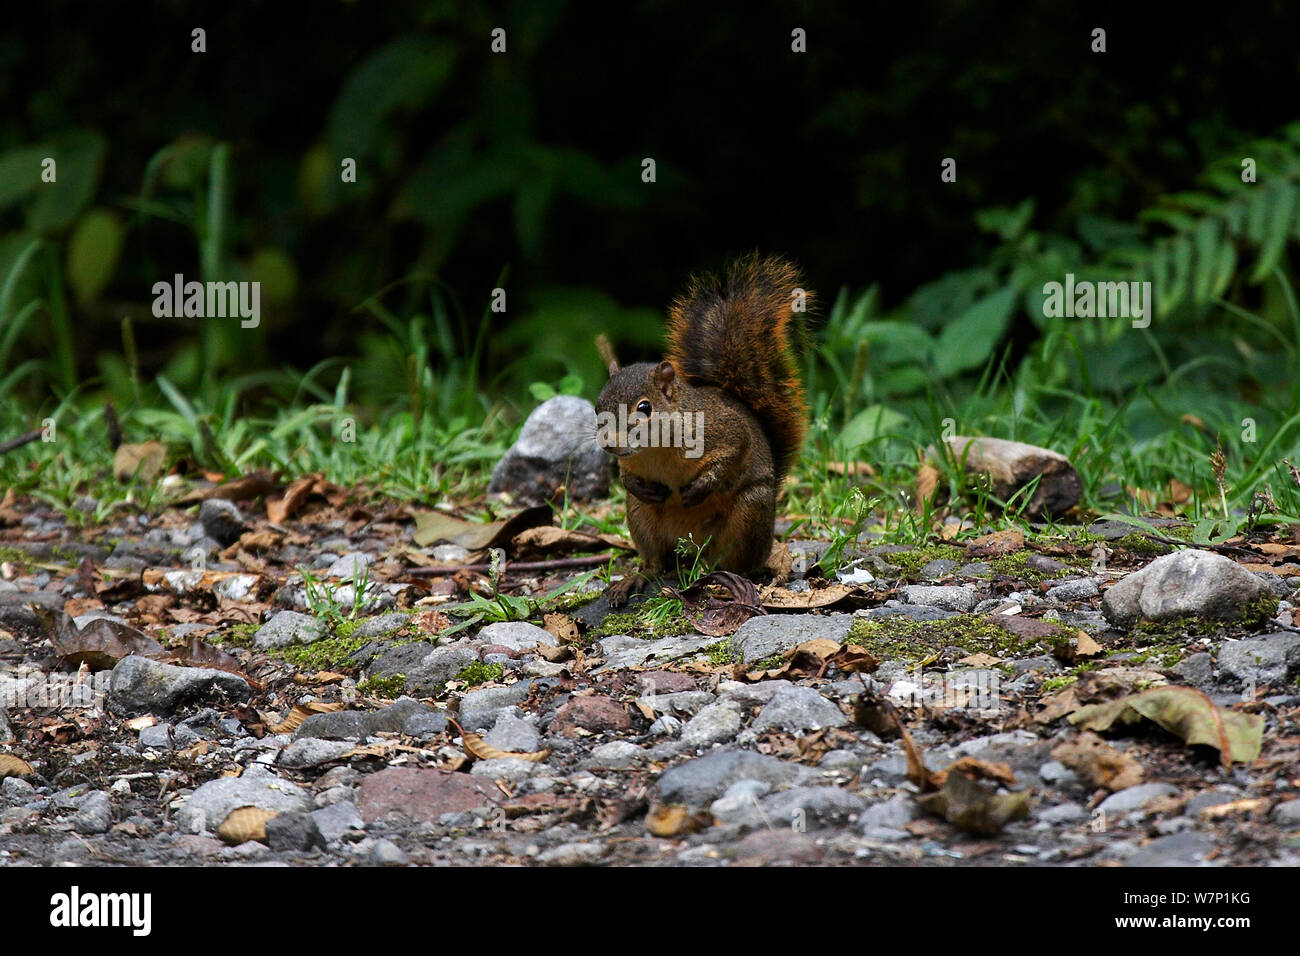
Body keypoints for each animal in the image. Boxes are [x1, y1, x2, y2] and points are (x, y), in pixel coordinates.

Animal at [595, 253, 811, 605]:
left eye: (645, 408)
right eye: (597, 404)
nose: (608, 444)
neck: (656, 449)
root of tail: (690, 550)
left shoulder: (723, 428)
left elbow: (732, 451)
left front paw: (699, 487)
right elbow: (627, 477)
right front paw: (639, 484)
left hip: (749, 513)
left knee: (734, 562)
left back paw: (715, 577)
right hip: (641, 518)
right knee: (656, 560)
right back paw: (637, 577)